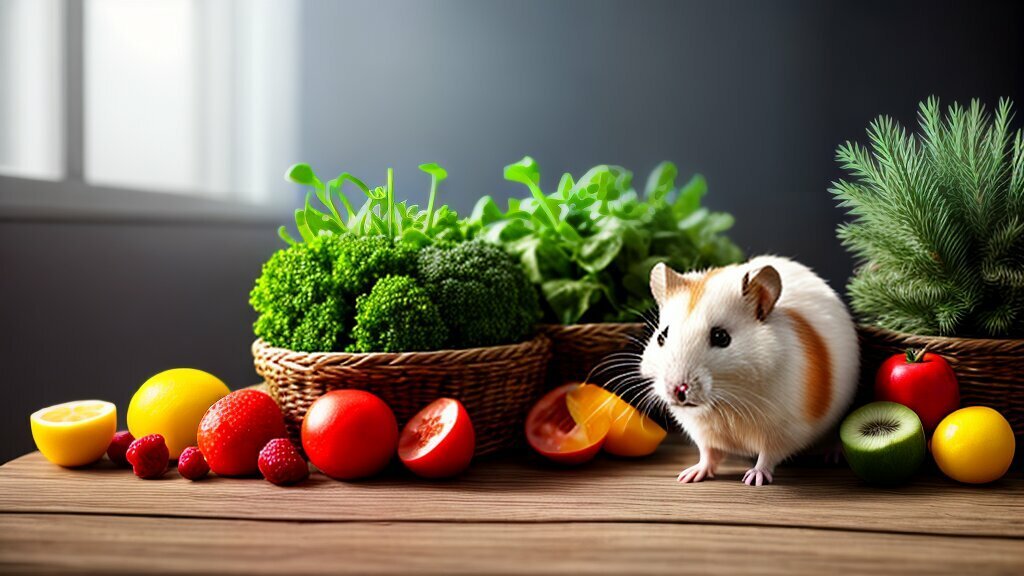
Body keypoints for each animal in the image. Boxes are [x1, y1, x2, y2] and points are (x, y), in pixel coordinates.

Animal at [640, 256, 859, 486]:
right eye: (661, 336)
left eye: (721, 337)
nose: (677, 390)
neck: (727, 402)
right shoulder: (700, 430)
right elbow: (707, 453)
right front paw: (687, 476)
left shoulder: (784, 430)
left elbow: (767, 456)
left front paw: (754, 479)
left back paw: (833, 456)